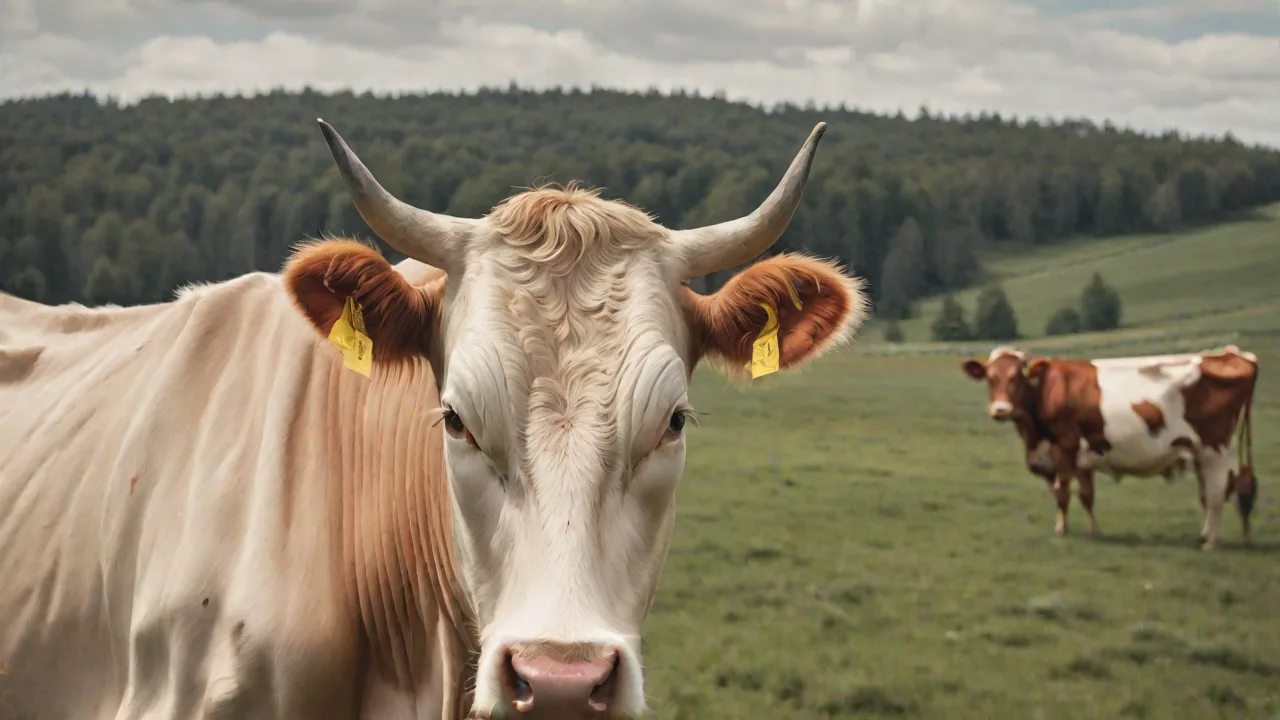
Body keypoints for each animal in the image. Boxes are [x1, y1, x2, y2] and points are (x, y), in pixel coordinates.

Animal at [961, 345, 1258, 551]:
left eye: (1016, 377)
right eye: (990, 378)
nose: (1000, 410)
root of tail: (1232, 354)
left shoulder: (1065, 446)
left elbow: (1062, 492)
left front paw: (1061, 529)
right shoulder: (1083, 455)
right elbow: (1086, 495)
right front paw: (1094, 531)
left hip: (1215, 450)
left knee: (1217, 494)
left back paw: (1210, 543)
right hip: (1202, 453)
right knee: (1211, 495)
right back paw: (1206, 534)